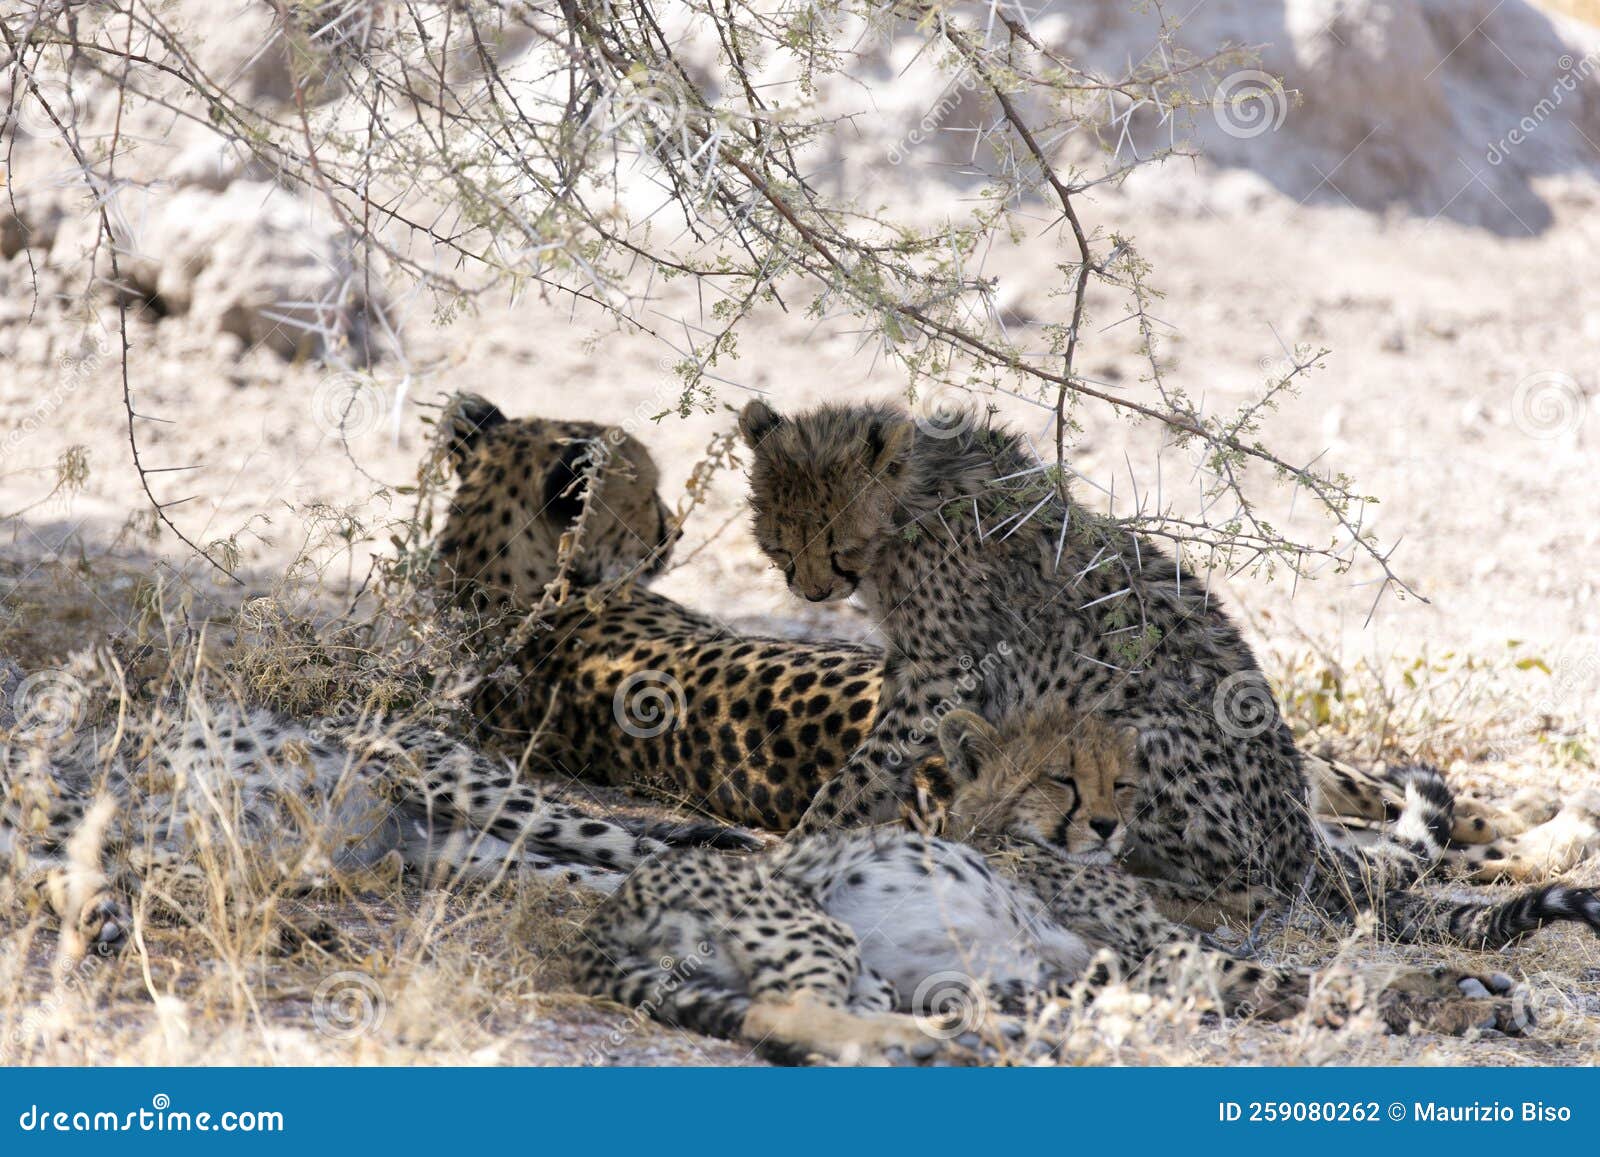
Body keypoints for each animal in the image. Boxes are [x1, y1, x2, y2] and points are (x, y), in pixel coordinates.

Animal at [571, 700, 1531, 1065]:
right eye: (1065, 777)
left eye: (1127, 783)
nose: (1108, 827)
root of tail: (599, 924)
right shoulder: (1171, 954)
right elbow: (1329, 981)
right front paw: (1464, 1001)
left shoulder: (1125, 957)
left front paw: (1467, 990)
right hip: (814, 925)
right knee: (783, 1014)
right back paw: (947, 1043)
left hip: (866, 969)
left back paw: (967, 1033)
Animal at [735, 396, 1600, 950]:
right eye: (777, 542)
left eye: (835, 540)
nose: (811, 590)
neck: (913, 497)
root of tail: (1299, 836)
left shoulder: (940, 667)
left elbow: (866, 766)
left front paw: (805, 841)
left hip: (1143, 730)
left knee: (1252, 891)